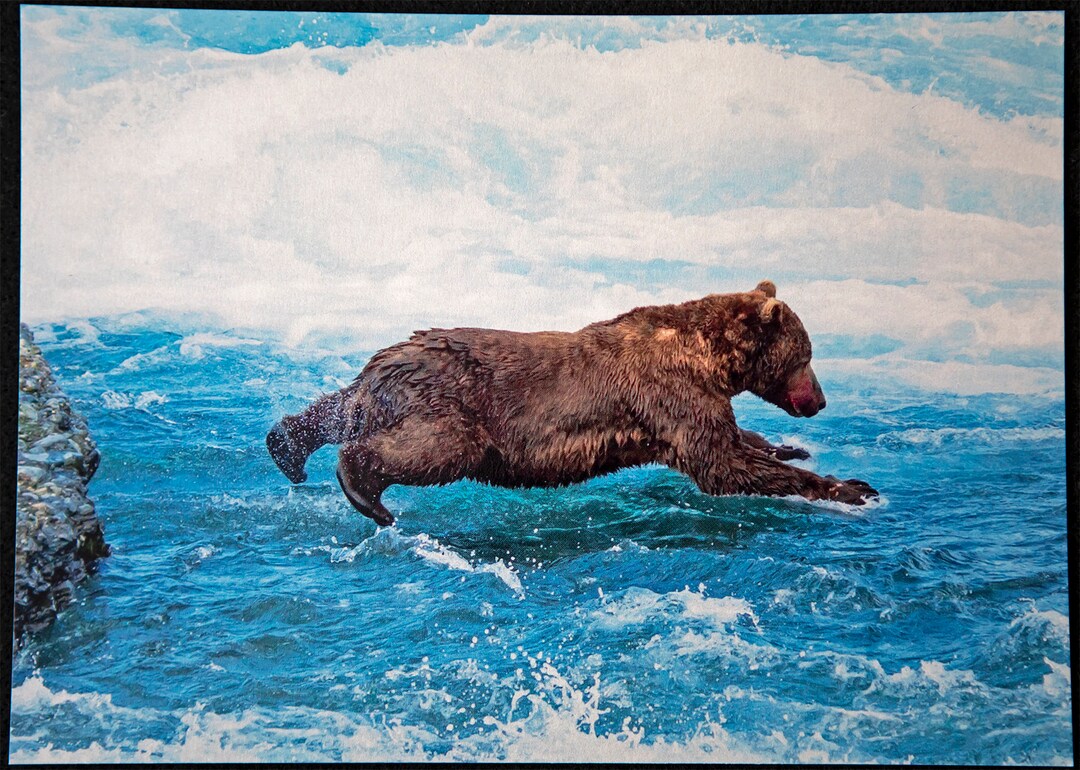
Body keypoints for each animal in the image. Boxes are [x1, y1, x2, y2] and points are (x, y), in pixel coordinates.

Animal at [267, 281, 877, 526]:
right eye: (807, 354)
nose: (820, 401)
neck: (710, 359)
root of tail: (388, 358)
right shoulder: (669, 391)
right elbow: (719, 462)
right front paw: (851, 489)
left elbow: (733, 442)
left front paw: (789, 448)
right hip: (454, 404)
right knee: (427, 448)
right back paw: (366, 495)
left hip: (387, 389)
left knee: (337, 411)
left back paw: (286, 446)